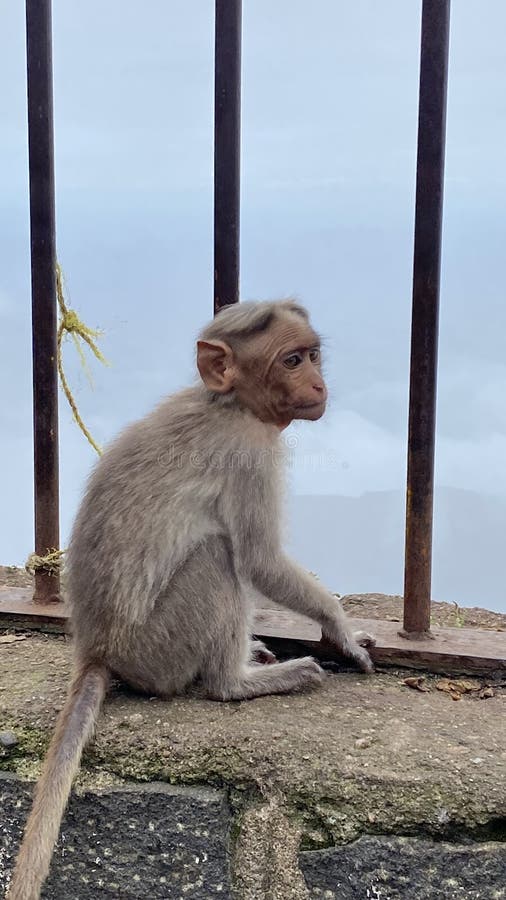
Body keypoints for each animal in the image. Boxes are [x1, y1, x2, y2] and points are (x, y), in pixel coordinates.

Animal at [7, 299, 374, 900]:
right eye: (291, 360)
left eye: (313, 354)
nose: (318, 383)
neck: (229, 402)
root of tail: (96, 651)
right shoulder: (249, 453)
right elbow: (259, 560)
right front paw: (339, 630)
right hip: (161, 648)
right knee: (217, 555)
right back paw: (238, 681)